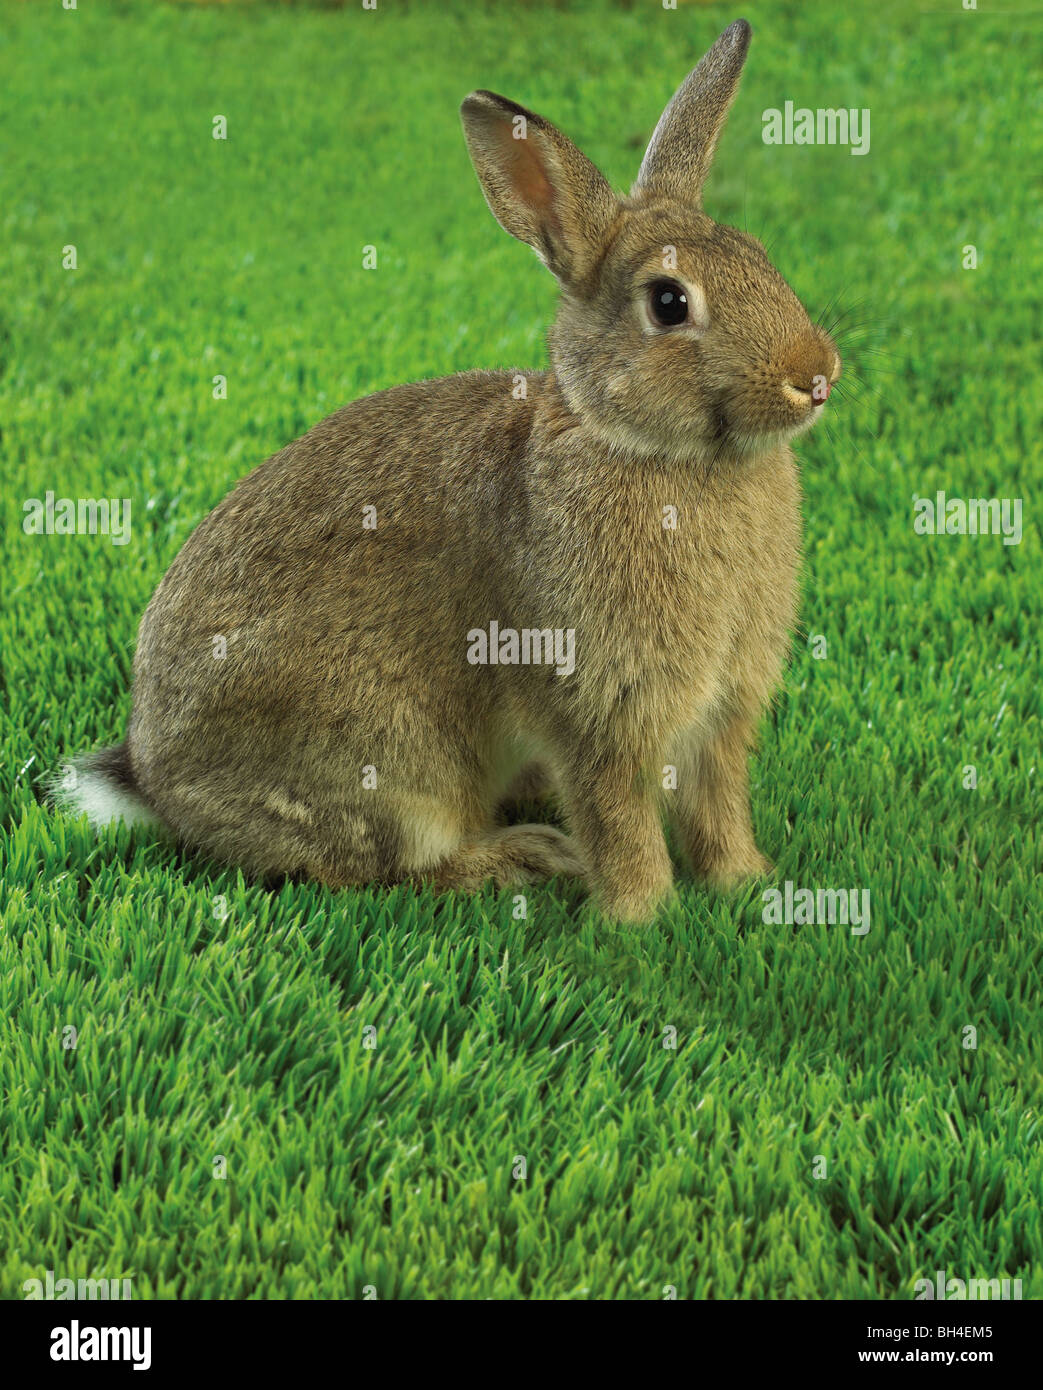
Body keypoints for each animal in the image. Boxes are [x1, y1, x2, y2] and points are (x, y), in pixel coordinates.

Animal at [56, 19, 840, 924]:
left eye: (759, 255)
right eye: (669, 303)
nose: (816, 375)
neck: (649, 447)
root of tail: (158, 783)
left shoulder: (721, 712)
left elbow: (718, 805)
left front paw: (747, 885)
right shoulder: (593, 706)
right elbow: (619, 820)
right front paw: (642, 919)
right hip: (390, 764)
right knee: (383, 869)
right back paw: (522, 859)